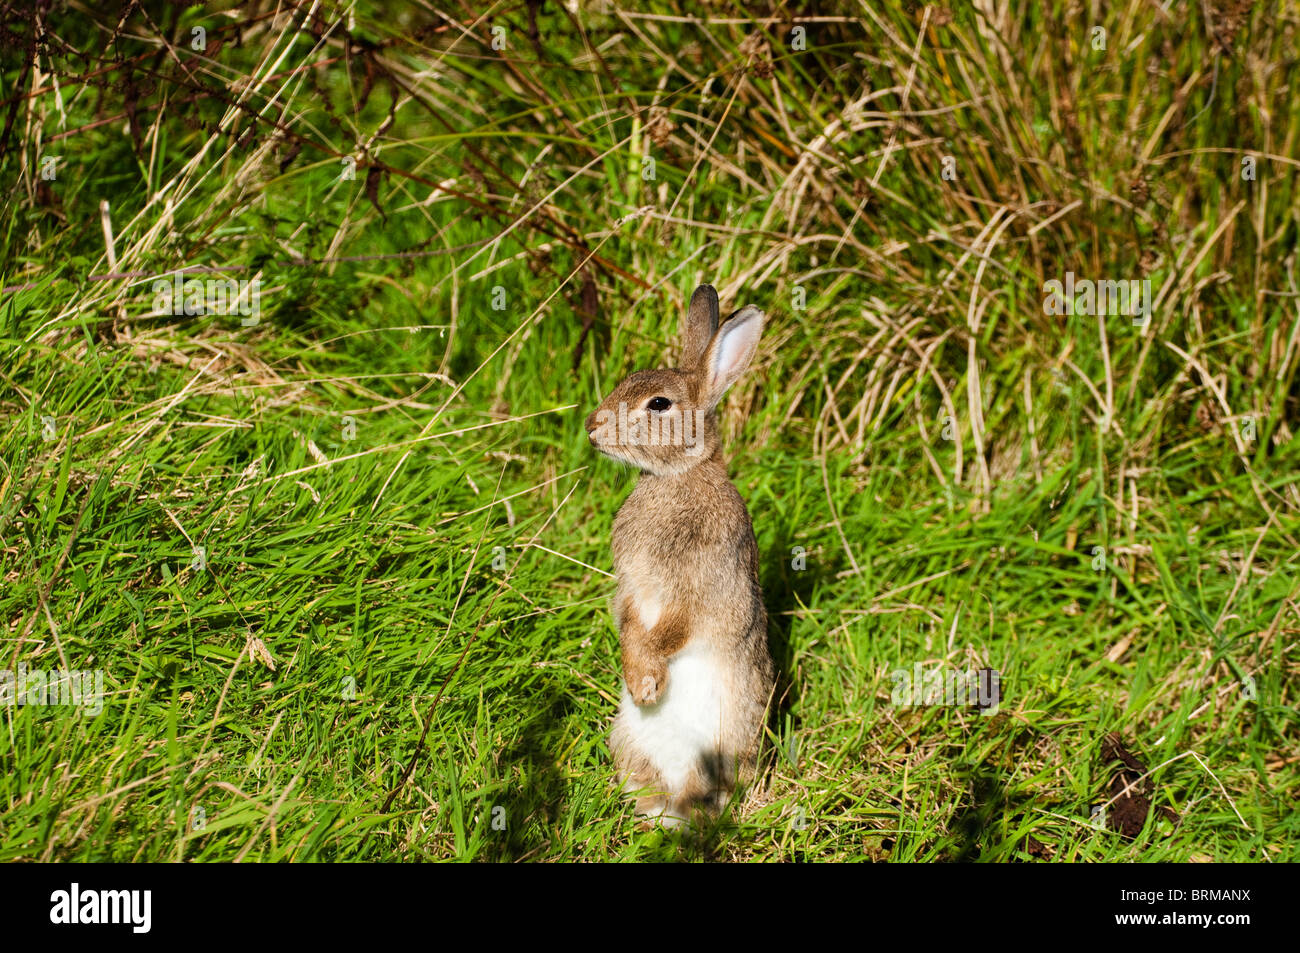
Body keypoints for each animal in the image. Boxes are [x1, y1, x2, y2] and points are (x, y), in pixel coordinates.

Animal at [585, 283, 775, 827]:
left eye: (659, 404)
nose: (592, 427)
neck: (679, 476)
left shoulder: (702, 586)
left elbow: (674, 629)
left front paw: (648, 681)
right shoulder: (631, 586)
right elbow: (632, 623)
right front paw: (638, 680)